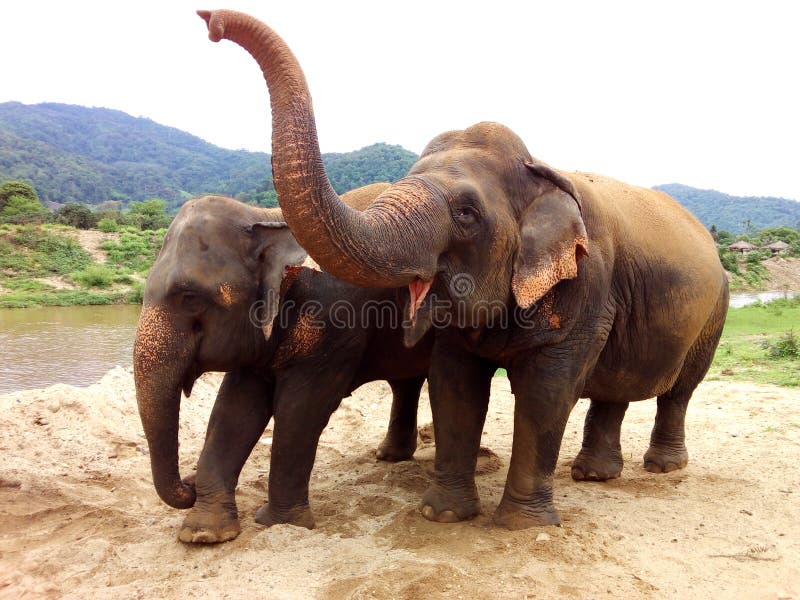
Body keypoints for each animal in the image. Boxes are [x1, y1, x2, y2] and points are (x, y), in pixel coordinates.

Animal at [133, 184, 433, 543]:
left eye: (189, 297)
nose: (188, 485)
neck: (269, 216)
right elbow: (234, 409)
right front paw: (204, 535)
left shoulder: (334, 322)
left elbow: (300, 409)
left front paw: (281, 523)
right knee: (407, 382)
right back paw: (389, 456)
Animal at [199, 10, 730, 530]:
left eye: (467, 213)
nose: (210, 23)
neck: (540, 168)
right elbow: (453, 382)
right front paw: (443, 514)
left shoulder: (587, 285)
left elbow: (548, 390)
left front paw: (521, 526)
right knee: (613, 388)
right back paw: (594, 476)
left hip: (714, 314)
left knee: (679, 390)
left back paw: (661, 467)